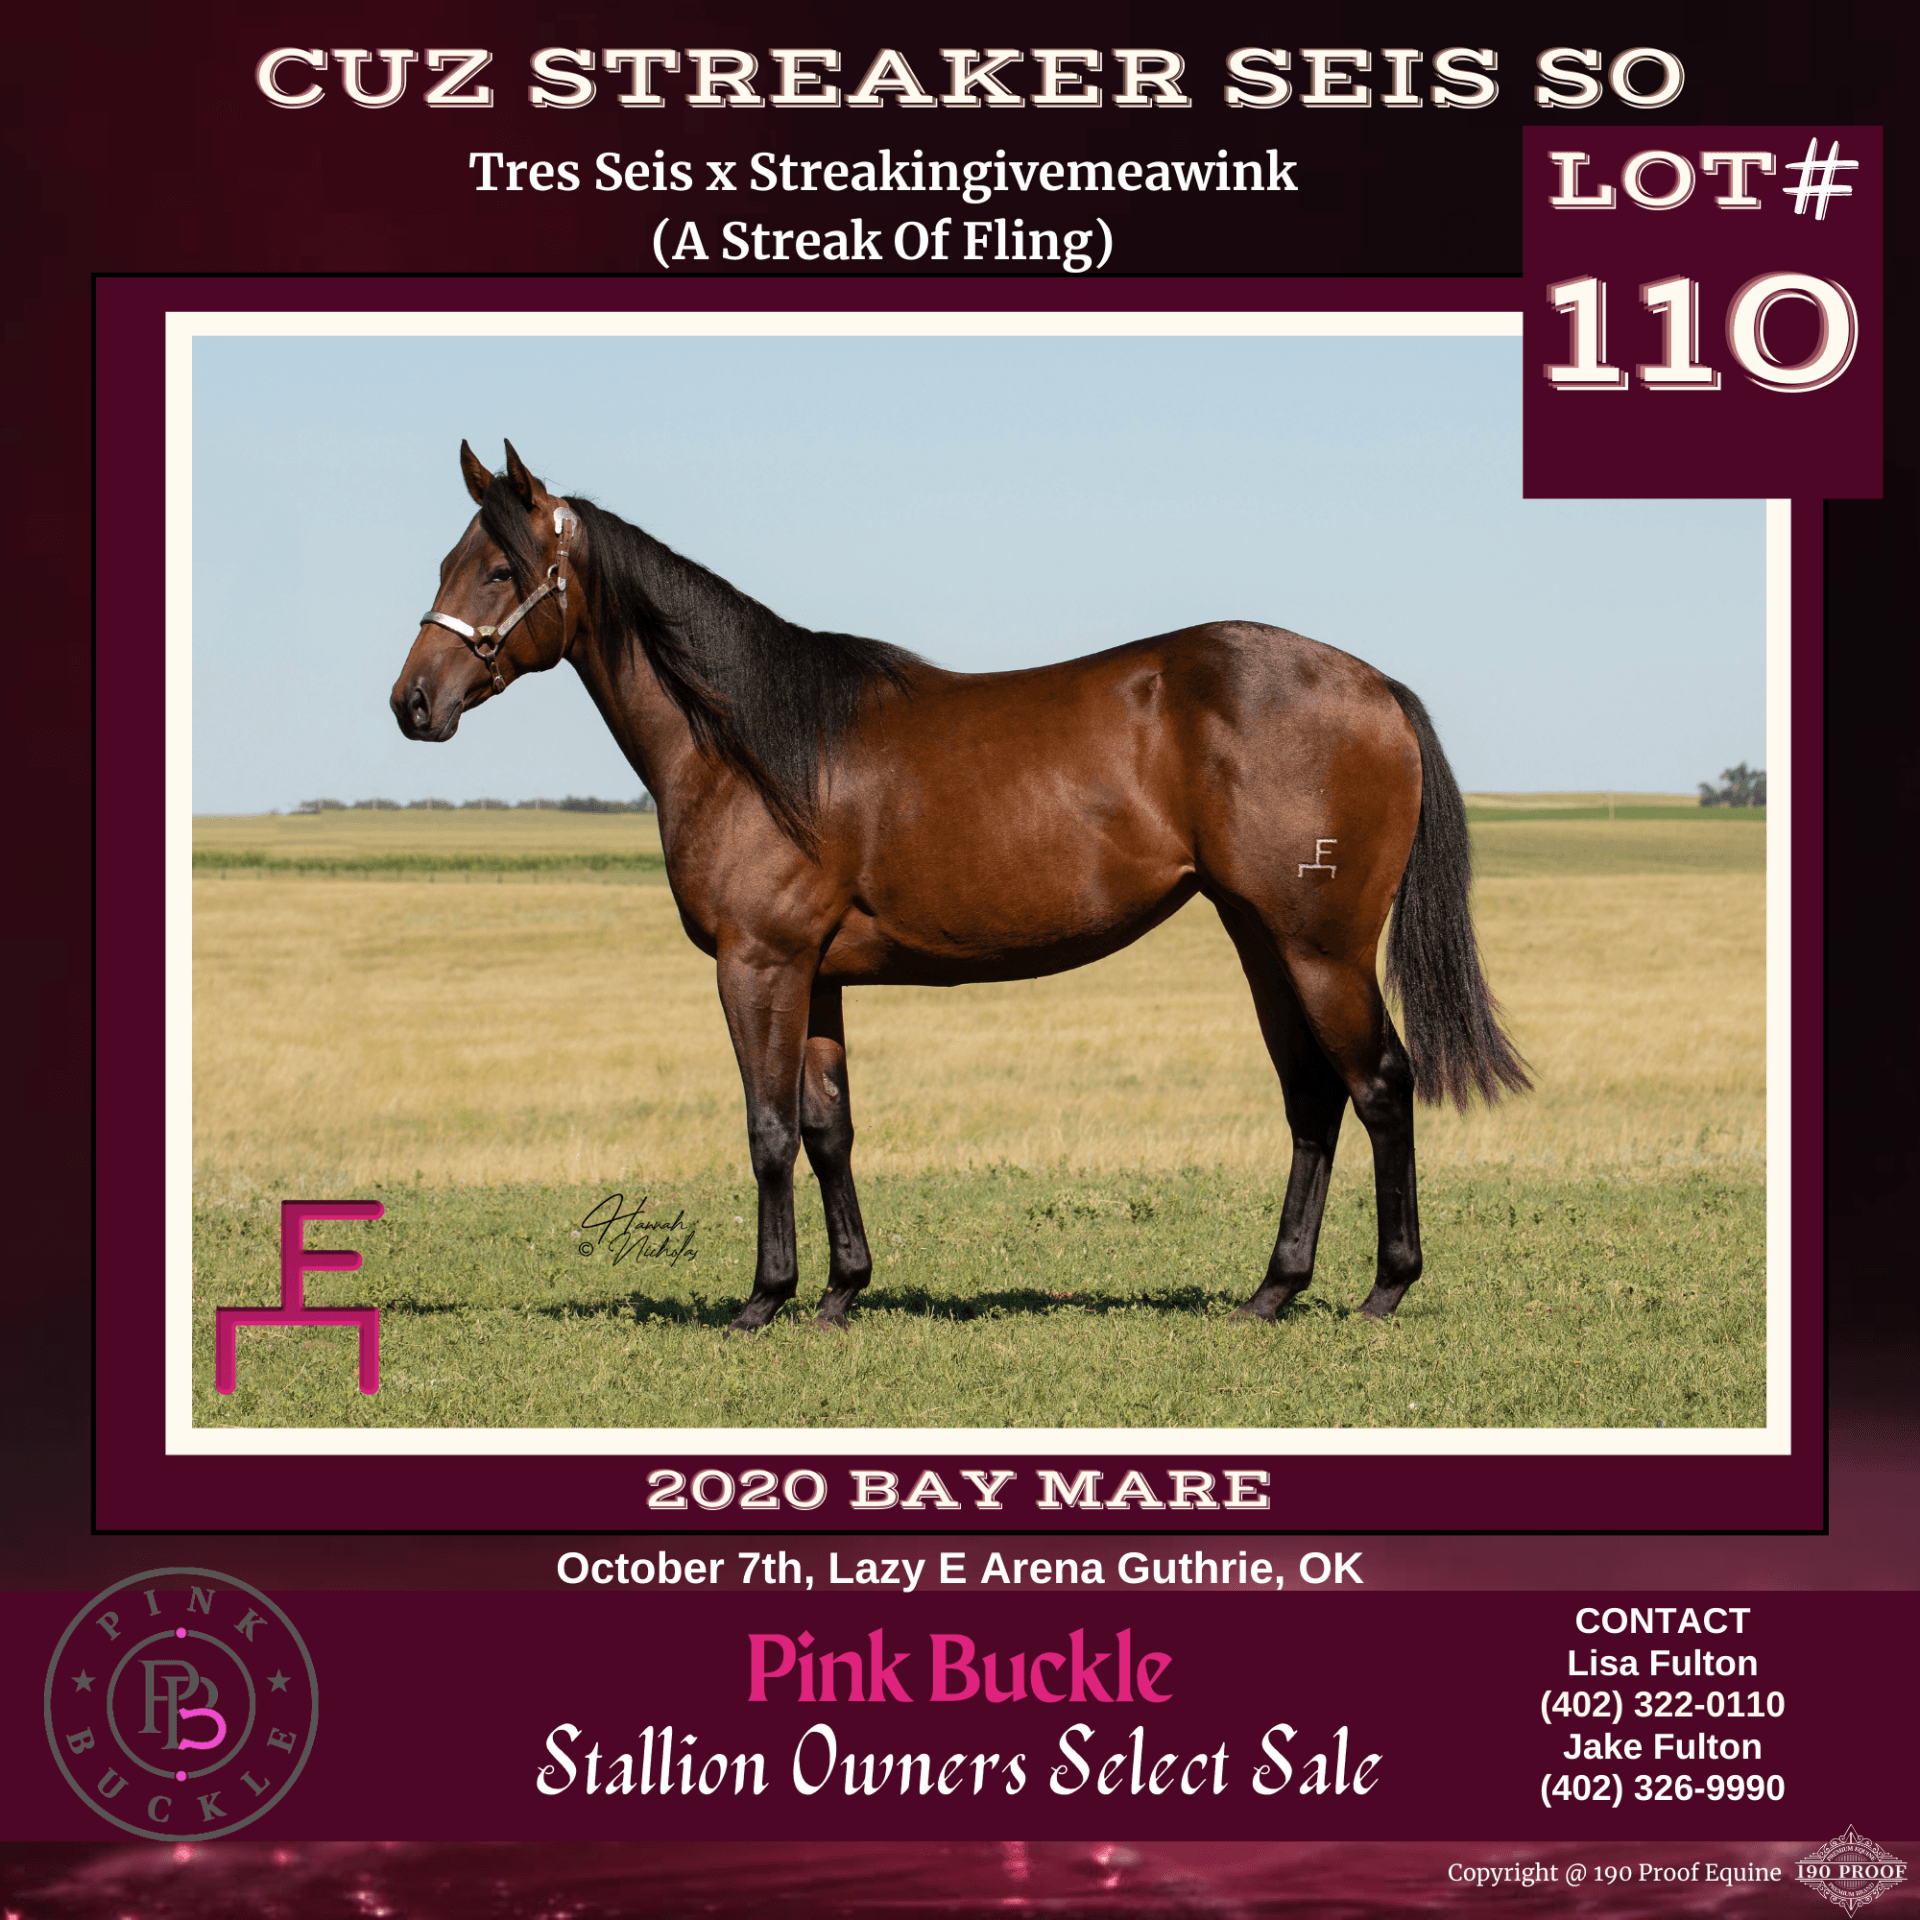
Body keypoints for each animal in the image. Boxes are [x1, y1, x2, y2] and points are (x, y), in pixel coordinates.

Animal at [391, 441, 1529, 1334]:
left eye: (500, 568)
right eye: (451, 562)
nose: (412, 702)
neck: (754, 745)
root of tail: (1376, 686)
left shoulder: (757, 964)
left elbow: (767, 1132)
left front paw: (763, 1300)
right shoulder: (818, 977)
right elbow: (828, 1130)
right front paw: (841, 1293)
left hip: (1319, 947)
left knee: (1379, 1083)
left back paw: (1385, 1290)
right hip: (1262, 940)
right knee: (1311, 1096)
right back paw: (1272, 1291)